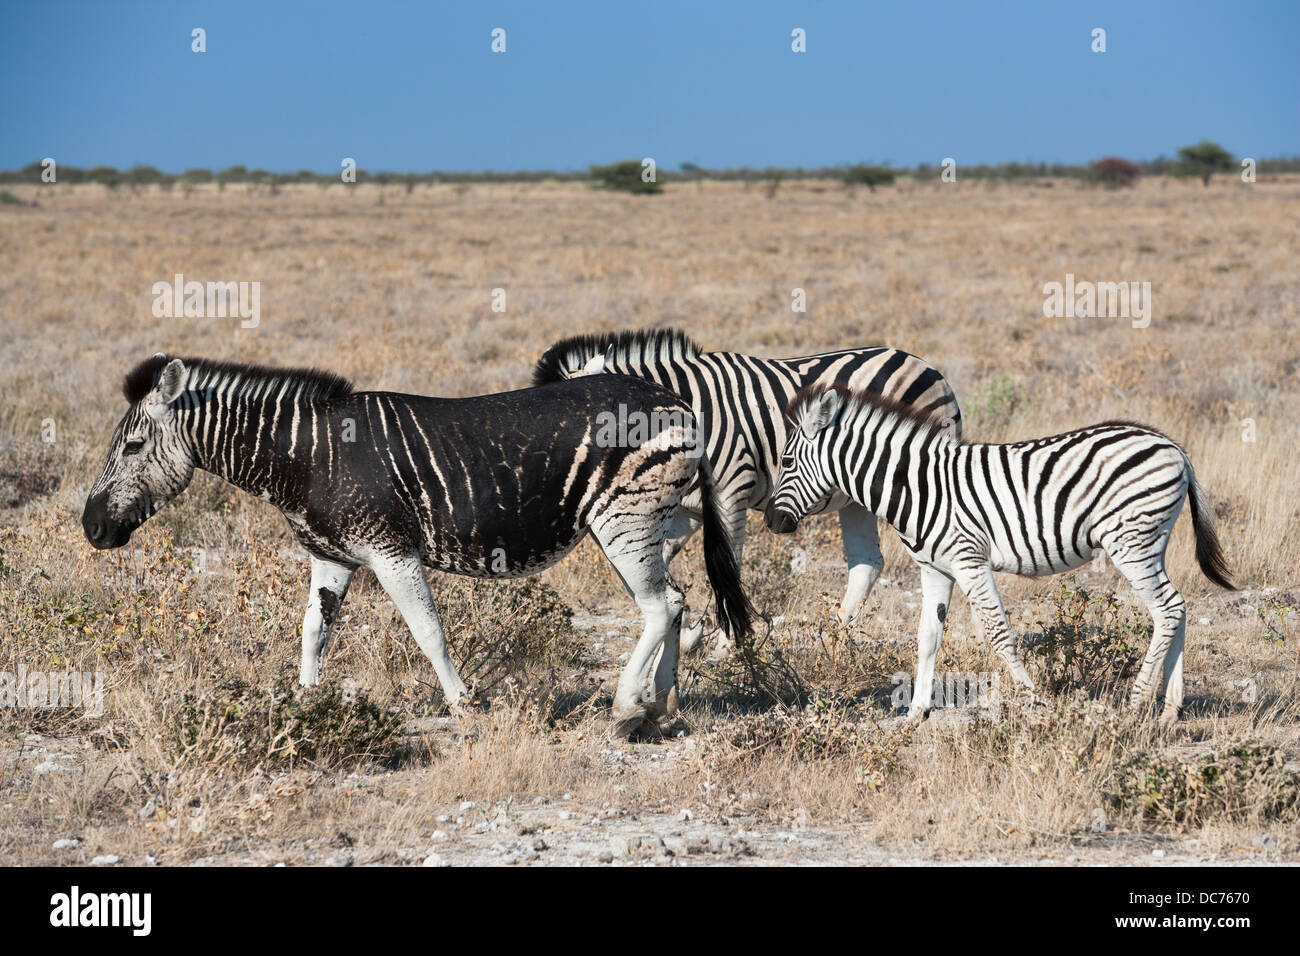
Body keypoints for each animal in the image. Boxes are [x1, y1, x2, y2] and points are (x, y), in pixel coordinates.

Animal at [81, 353, 752, 737]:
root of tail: (677, 401)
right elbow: (313, 633)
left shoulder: (390, 551)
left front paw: (464, 706)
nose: (90, 527)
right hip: (660, 519)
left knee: (657, 606)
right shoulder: (333, 556)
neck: (309, 459)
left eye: (133, 446)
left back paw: (624, 706)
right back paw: (661, 701)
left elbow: (427, 631)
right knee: (679, 601)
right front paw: (304, 707)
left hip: (624, 518)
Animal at [533, 329, 962, 651]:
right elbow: (653, 568)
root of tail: (926, 365)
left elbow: (726, 567)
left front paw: (727, 644)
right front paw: (686, 634)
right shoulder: (681, 511)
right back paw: (834, 636)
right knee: (867, 563)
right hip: (854, 495)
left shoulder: (728, 494)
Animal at [764, 383, 1235, 724]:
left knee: (1167, 610)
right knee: (1178, 608)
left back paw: (1137, 704)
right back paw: (1169, 710)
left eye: (785, 461)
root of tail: (1171, 446)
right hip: (1152, 541)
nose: (771, 522)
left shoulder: (969, 561)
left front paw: (1034, 700)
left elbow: (998, 633)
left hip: (1130, 541)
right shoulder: (934, 569)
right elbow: (927, 636)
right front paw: (916, 711)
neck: (917, 487)